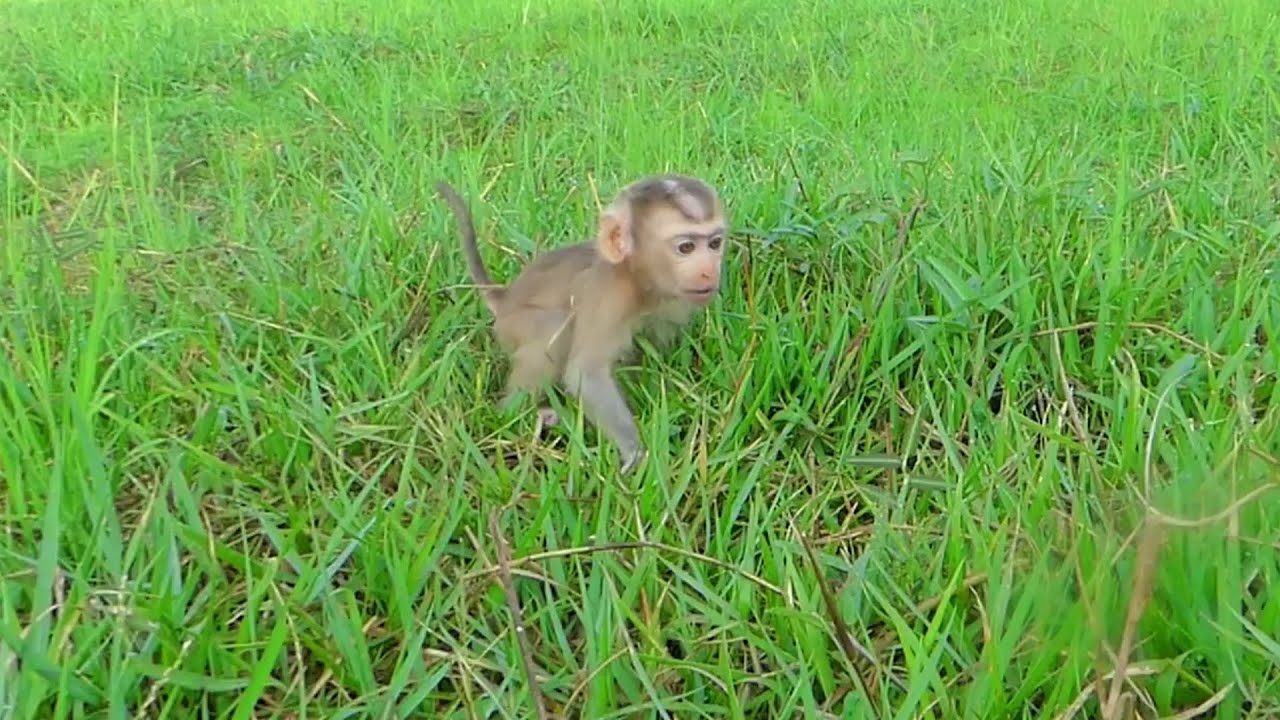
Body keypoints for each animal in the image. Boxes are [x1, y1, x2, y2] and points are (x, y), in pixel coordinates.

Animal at [435, 174, 728, 474]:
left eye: (715, 243)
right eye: (686, 247)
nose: (709, 271)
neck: (634, 277)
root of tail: (505, 299)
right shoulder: (608, 297)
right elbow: (585, 375)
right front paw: (635, 454)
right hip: (513, 326)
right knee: (553, 327)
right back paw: (515, 414)